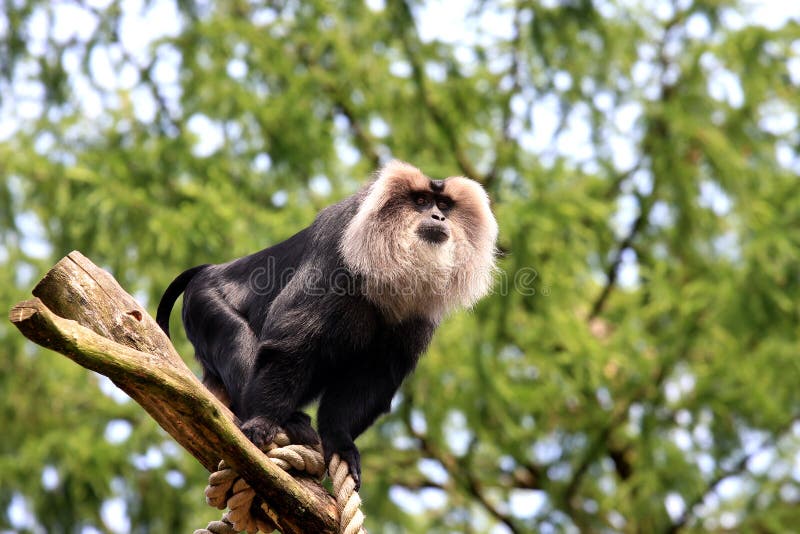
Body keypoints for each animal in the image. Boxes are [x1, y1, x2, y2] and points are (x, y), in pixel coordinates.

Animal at [156, 160, 498, 488]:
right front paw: (263, 420)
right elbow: (291, 344)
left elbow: (374, 375)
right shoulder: (337, 253)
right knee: (238, 336)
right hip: (204, 300)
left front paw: (340, 443)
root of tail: (211, 270)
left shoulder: (418, 314)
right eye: (422, 201)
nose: (438, 217)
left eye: (445, 205)